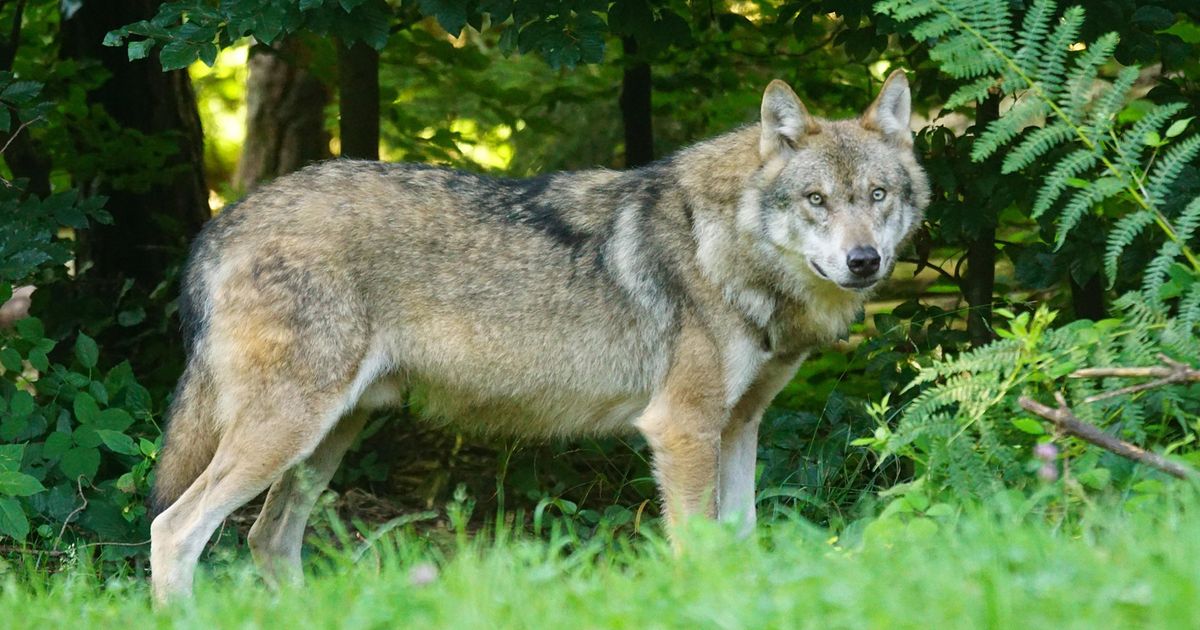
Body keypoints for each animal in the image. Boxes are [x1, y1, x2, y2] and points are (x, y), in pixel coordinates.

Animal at [148, 69, 928, 601]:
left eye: (877, 196)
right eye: (816, 200)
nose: (865, 261)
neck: (725, 246)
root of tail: (222, 222)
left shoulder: (739, 426)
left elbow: (741, 542)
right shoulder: (682, 429)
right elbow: (698, 551)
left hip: (326, 439)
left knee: (267, 538)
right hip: (288, 433)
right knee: (174, 530)